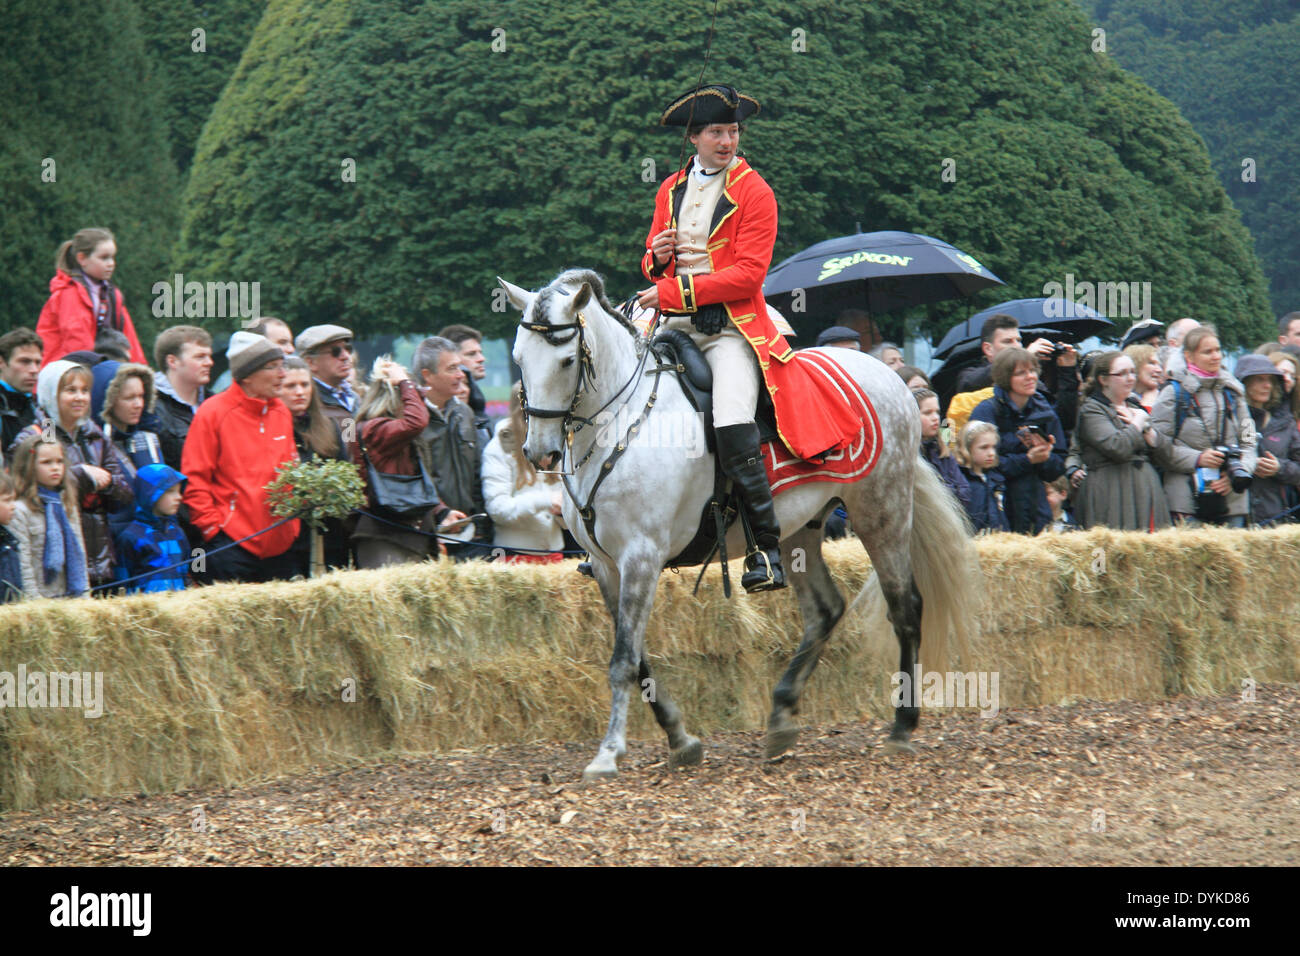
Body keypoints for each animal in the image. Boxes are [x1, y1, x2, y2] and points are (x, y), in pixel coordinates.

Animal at [499, 269, 981, 781]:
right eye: (518, 359)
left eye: (567, 359)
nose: (539, 453)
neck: (622, 423)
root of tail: (890, 377)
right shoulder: (608, 565)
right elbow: (638, 656)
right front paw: (680, 738)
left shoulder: (641, 557)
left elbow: (624, 658)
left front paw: (609, 752)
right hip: (799, 530)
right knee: (825, 609)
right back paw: (782, 717)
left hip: (881, 510)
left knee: (905, 605)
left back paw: (901, 726)